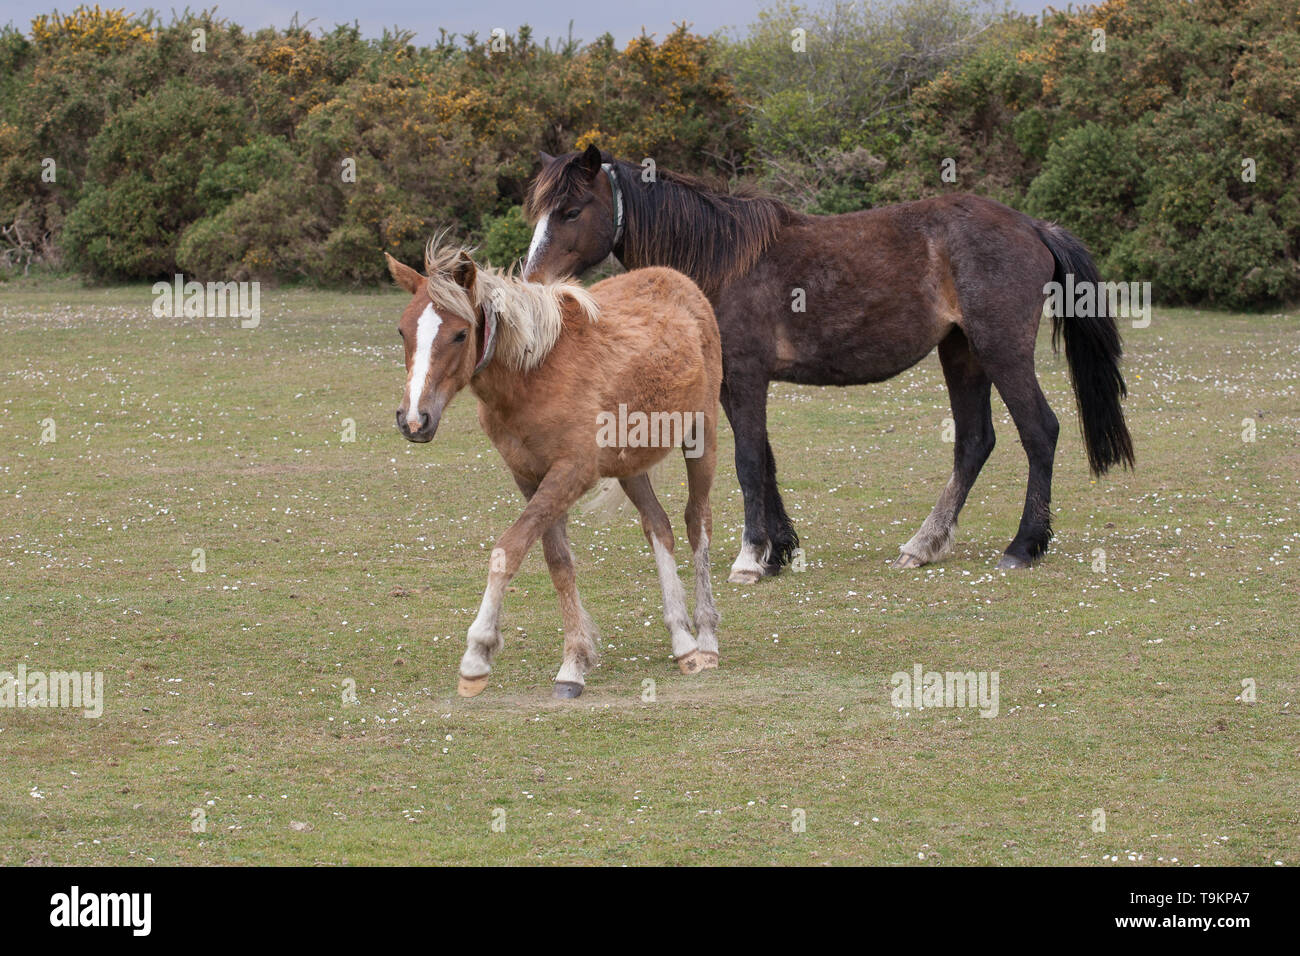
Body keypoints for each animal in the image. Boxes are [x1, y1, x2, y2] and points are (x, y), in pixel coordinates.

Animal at [386, 238, 723, 699]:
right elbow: (558, 562)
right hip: (630, 464)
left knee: (697, 523)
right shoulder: (530, 478)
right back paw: (682, 641)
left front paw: (477, 655)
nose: (414, 420)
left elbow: (507, 550)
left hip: (701, 437)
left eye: (460, 333)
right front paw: (574, 663)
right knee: (659, 527)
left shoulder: (571, 473)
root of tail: (679, 282)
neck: (533, 373)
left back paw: (705, 640)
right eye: (403, 331)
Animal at [522, 145, 1135, 582]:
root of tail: (1032, 226)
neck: (723, 260)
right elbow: (766, 462)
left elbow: (748, 462)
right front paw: (779, 552)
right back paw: (925, 544)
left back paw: (1024, 545)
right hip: (961, 352)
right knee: (974, 441)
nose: (532, 283)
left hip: (1000, 349)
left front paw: (751, 558)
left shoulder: (746, 378)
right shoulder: (735, 385)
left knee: (1040, 432)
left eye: (571, 211)